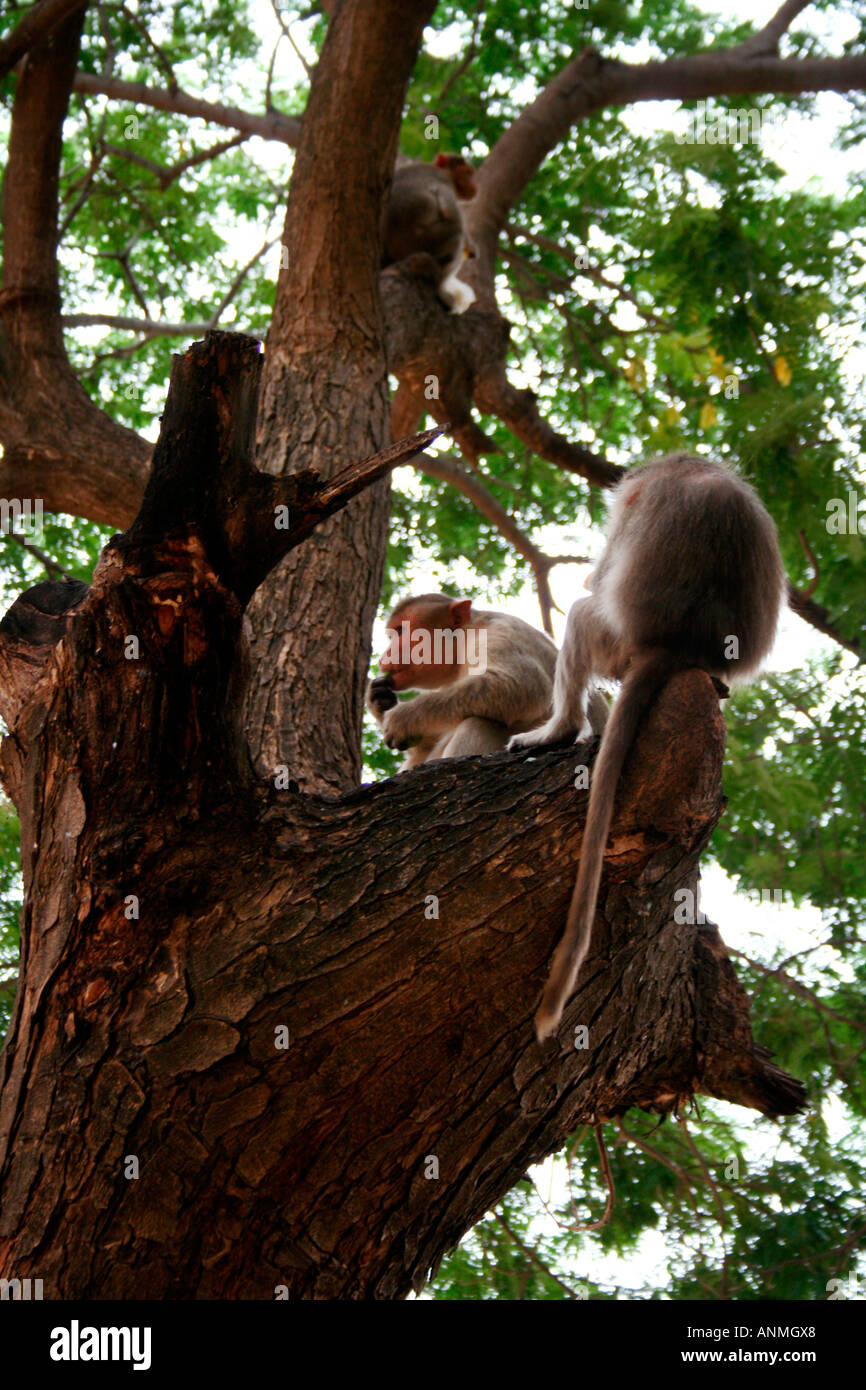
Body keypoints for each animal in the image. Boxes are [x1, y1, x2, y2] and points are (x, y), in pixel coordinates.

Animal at [366, 593, 607, 769]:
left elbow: (522, 686)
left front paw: (403, 717)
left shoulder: (498, 634)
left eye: (401, 630)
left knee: (479, 722)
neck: (463, 639)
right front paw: (381, 700)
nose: (384, 656)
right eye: (392, 634)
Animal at [382, 154, 477, 314]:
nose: (474, 184)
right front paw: (471, 244)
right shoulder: (444, 181)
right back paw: (440, 289)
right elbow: (452, 217)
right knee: (456, 235)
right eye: (468, 173)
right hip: (423, 241)